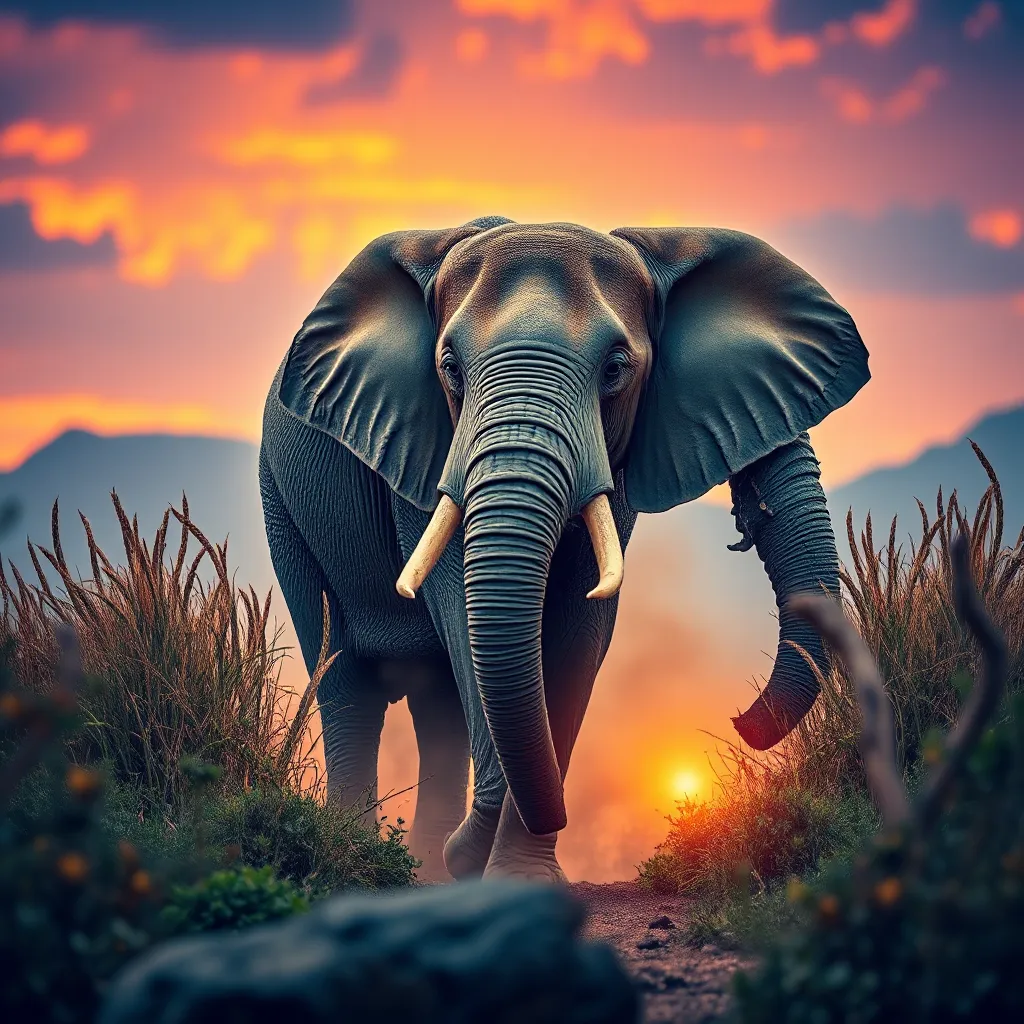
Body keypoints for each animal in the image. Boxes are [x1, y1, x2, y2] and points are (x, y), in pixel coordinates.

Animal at [259, 216, 869, 881]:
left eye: (615, 369)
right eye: (449, 368)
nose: (741, 722)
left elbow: (579, 634)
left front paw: (514, 875)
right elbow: (465, 612)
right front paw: (480, 863)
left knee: (436, 697)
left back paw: (425, 866)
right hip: (281, 502)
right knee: (346, 677)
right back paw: (375, 856)